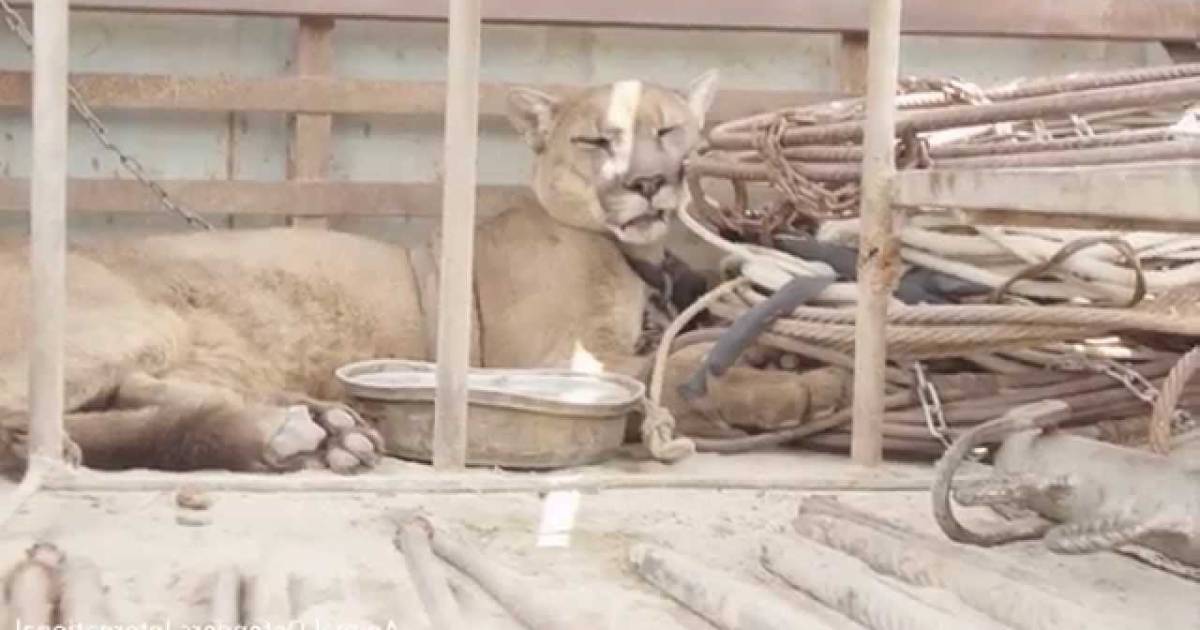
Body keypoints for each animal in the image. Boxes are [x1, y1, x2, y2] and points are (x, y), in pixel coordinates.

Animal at [0, 71, 832, 474]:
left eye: (670, 132)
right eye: (598, 140)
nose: (650, 183)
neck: (630, 256)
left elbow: (686, 348)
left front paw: (786, 356)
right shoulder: (559, 358)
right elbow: (687, 369)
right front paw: (802, 387)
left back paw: (318, 427)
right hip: (127, 320)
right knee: (30, 421)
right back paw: (295, 431)